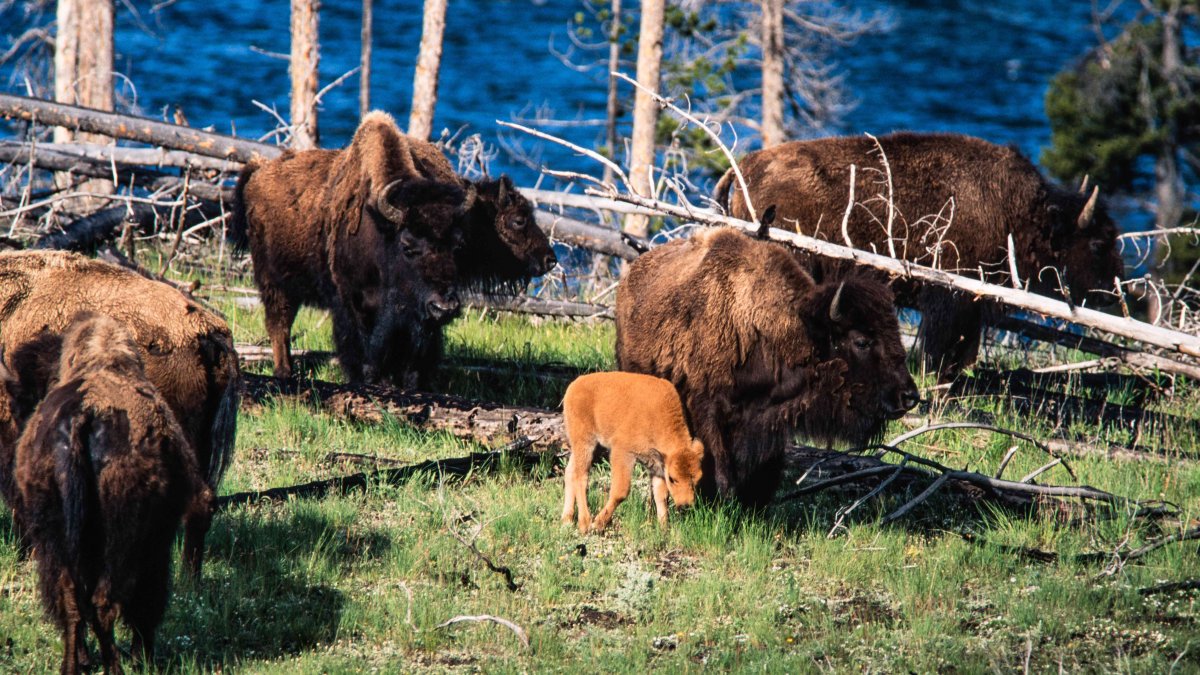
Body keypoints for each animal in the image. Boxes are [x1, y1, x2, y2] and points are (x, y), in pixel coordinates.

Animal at [616, 228, 919, 505]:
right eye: (862, 341)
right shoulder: (708, 411)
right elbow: (720, 470)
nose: (909, 396)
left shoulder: (768, 423)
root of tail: (629, 278)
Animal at [715, 132, 1123, 378]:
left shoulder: (971, 307)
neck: (1024, 214)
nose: (1111, 291)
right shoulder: (951, 298)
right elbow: (941, 346)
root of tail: (744, 167)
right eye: (1098, 243)